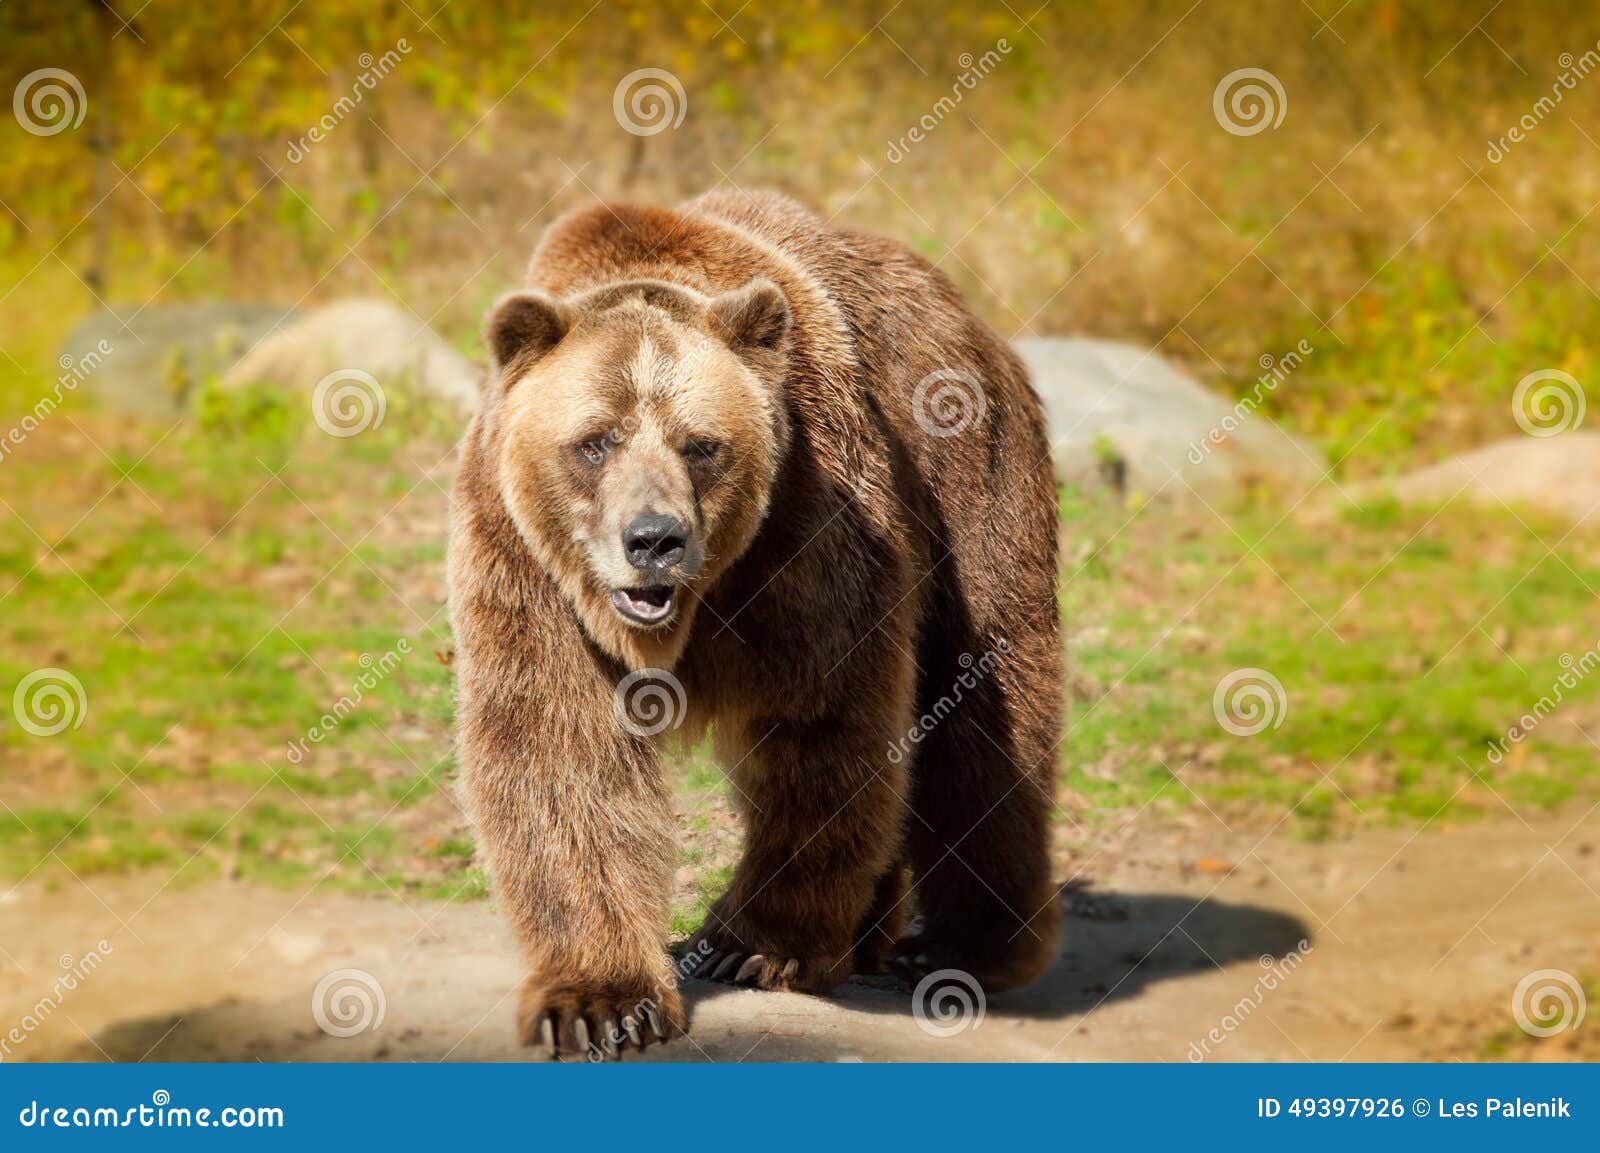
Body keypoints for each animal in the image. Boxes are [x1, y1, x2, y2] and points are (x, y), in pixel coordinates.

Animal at [449, 188, 1062, 1059]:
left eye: (701, 444)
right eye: (594, 441)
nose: (654, 539)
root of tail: (968, 313)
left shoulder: (808, 525)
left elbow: (823, 724)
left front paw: (754, 942)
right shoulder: (529, 563)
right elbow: (559, 748)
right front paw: (602, 1000)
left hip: (969, 477)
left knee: (983, 713)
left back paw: (958, 943)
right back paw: (870, 934)